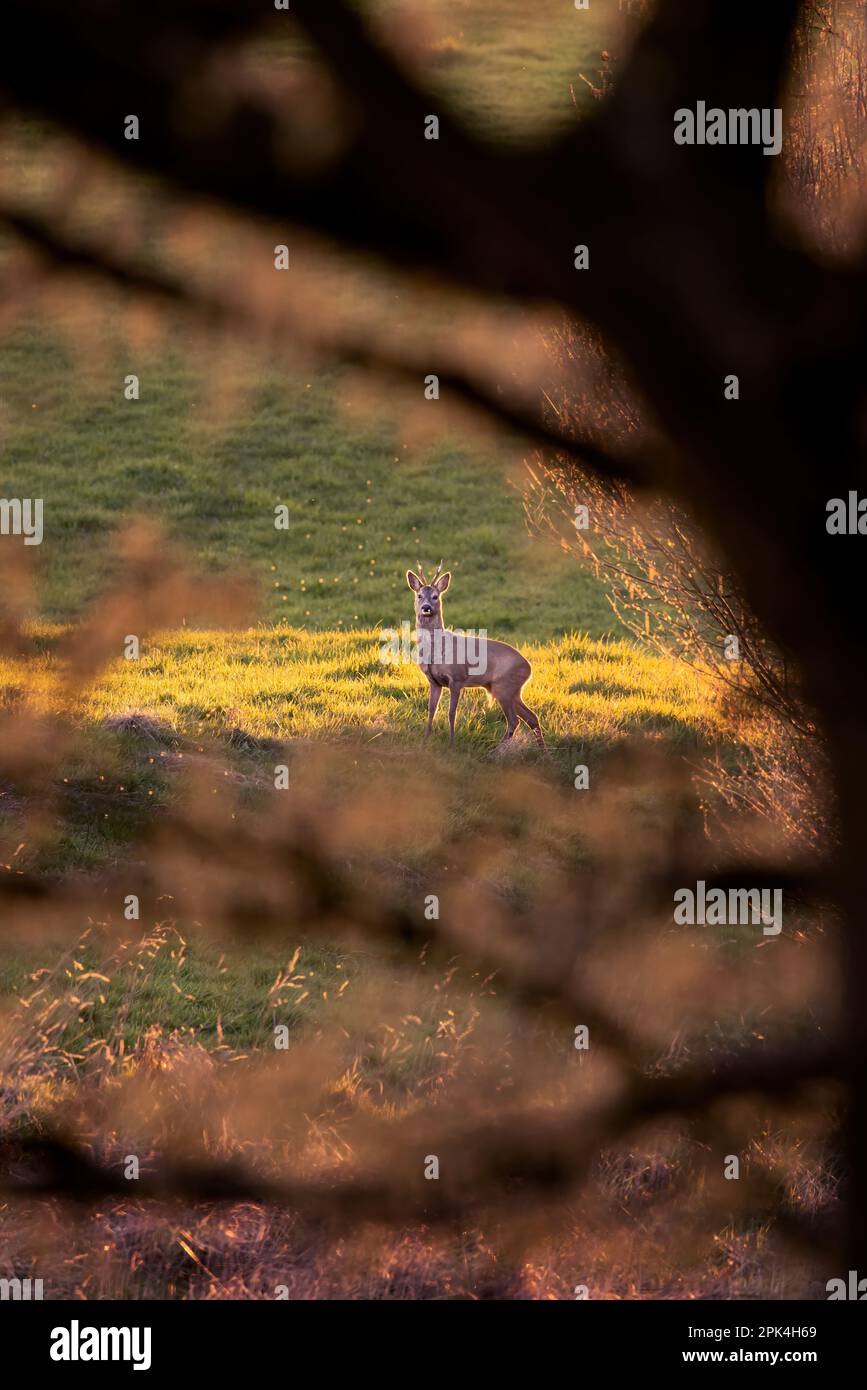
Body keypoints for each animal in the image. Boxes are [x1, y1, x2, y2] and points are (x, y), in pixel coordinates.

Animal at [406, 561, 545, 750]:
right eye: (419, 595)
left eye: (435, 596)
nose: (426, 607)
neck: (437, 651)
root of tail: (529, 668)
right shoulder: (434, 681)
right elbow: (431, 711)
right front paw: (424, 742)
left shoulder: (457, 678)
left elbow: (451, 713)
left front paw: (451, 744)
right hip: (512, 690)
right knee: (532, 717)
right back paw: (544, 753)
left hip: (504, 686)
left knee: (514, 720)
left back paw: (496, 752)